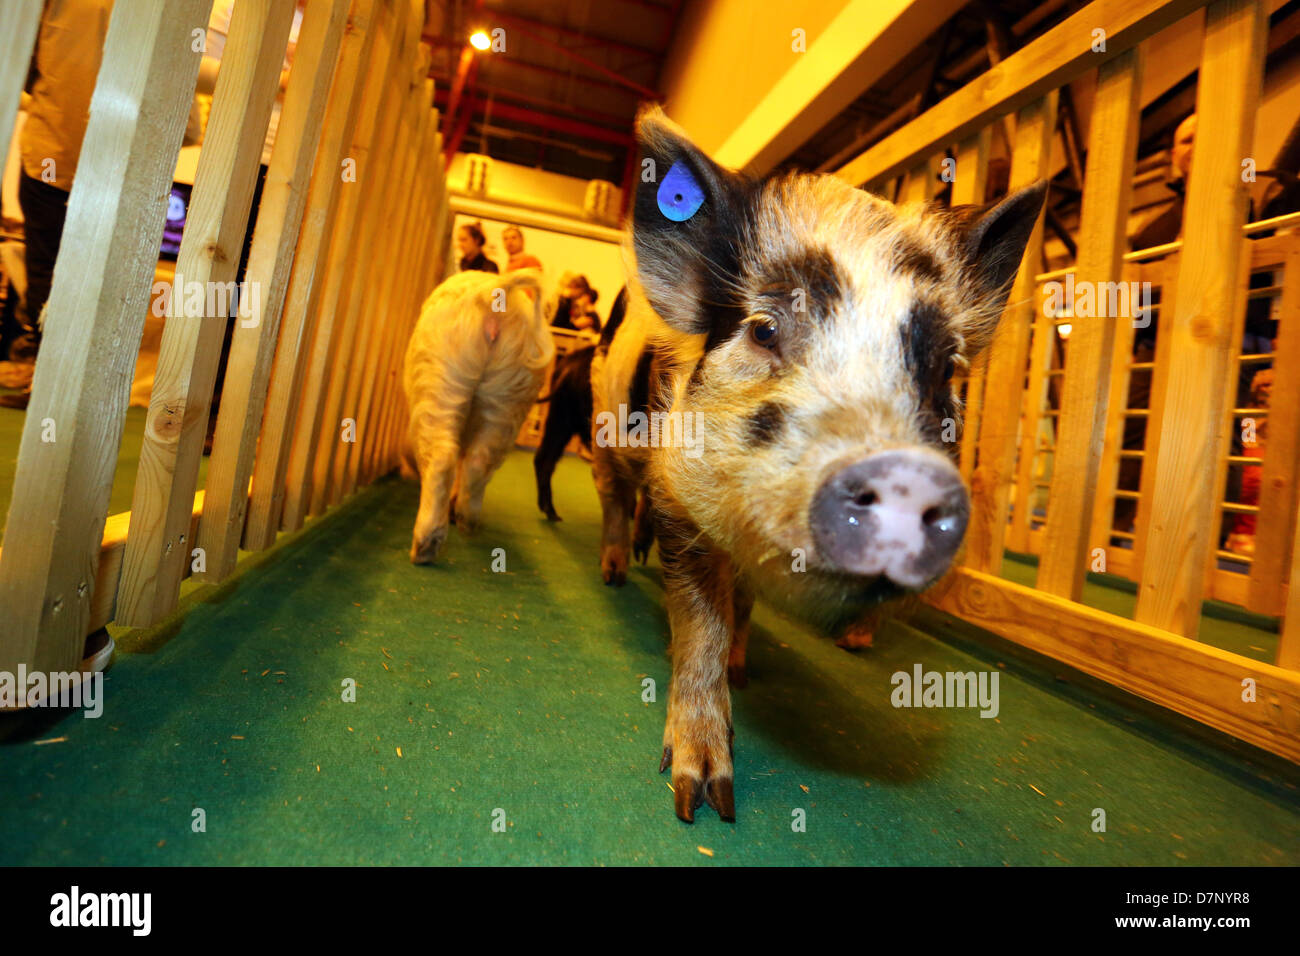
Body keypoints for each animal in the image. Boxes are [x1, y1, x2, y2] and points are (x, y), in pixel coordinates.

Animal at [403, 269, 554, 564]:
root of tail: (493, 293)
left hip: (442, 378)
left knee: (441, 457)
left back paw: (423, 550)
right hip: (509, 399)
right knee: (480, 460)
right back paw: (466, 523)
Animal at [592, 106, 1046, 822]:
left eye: (946, 366)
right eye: (764, 329)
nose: (901, 474)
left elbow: (741, 603)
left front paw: (744, 670)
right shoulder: (681, 497)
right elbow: (700, 624)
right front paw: (702, 799)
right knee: (612, 493)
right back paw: (614, 572)